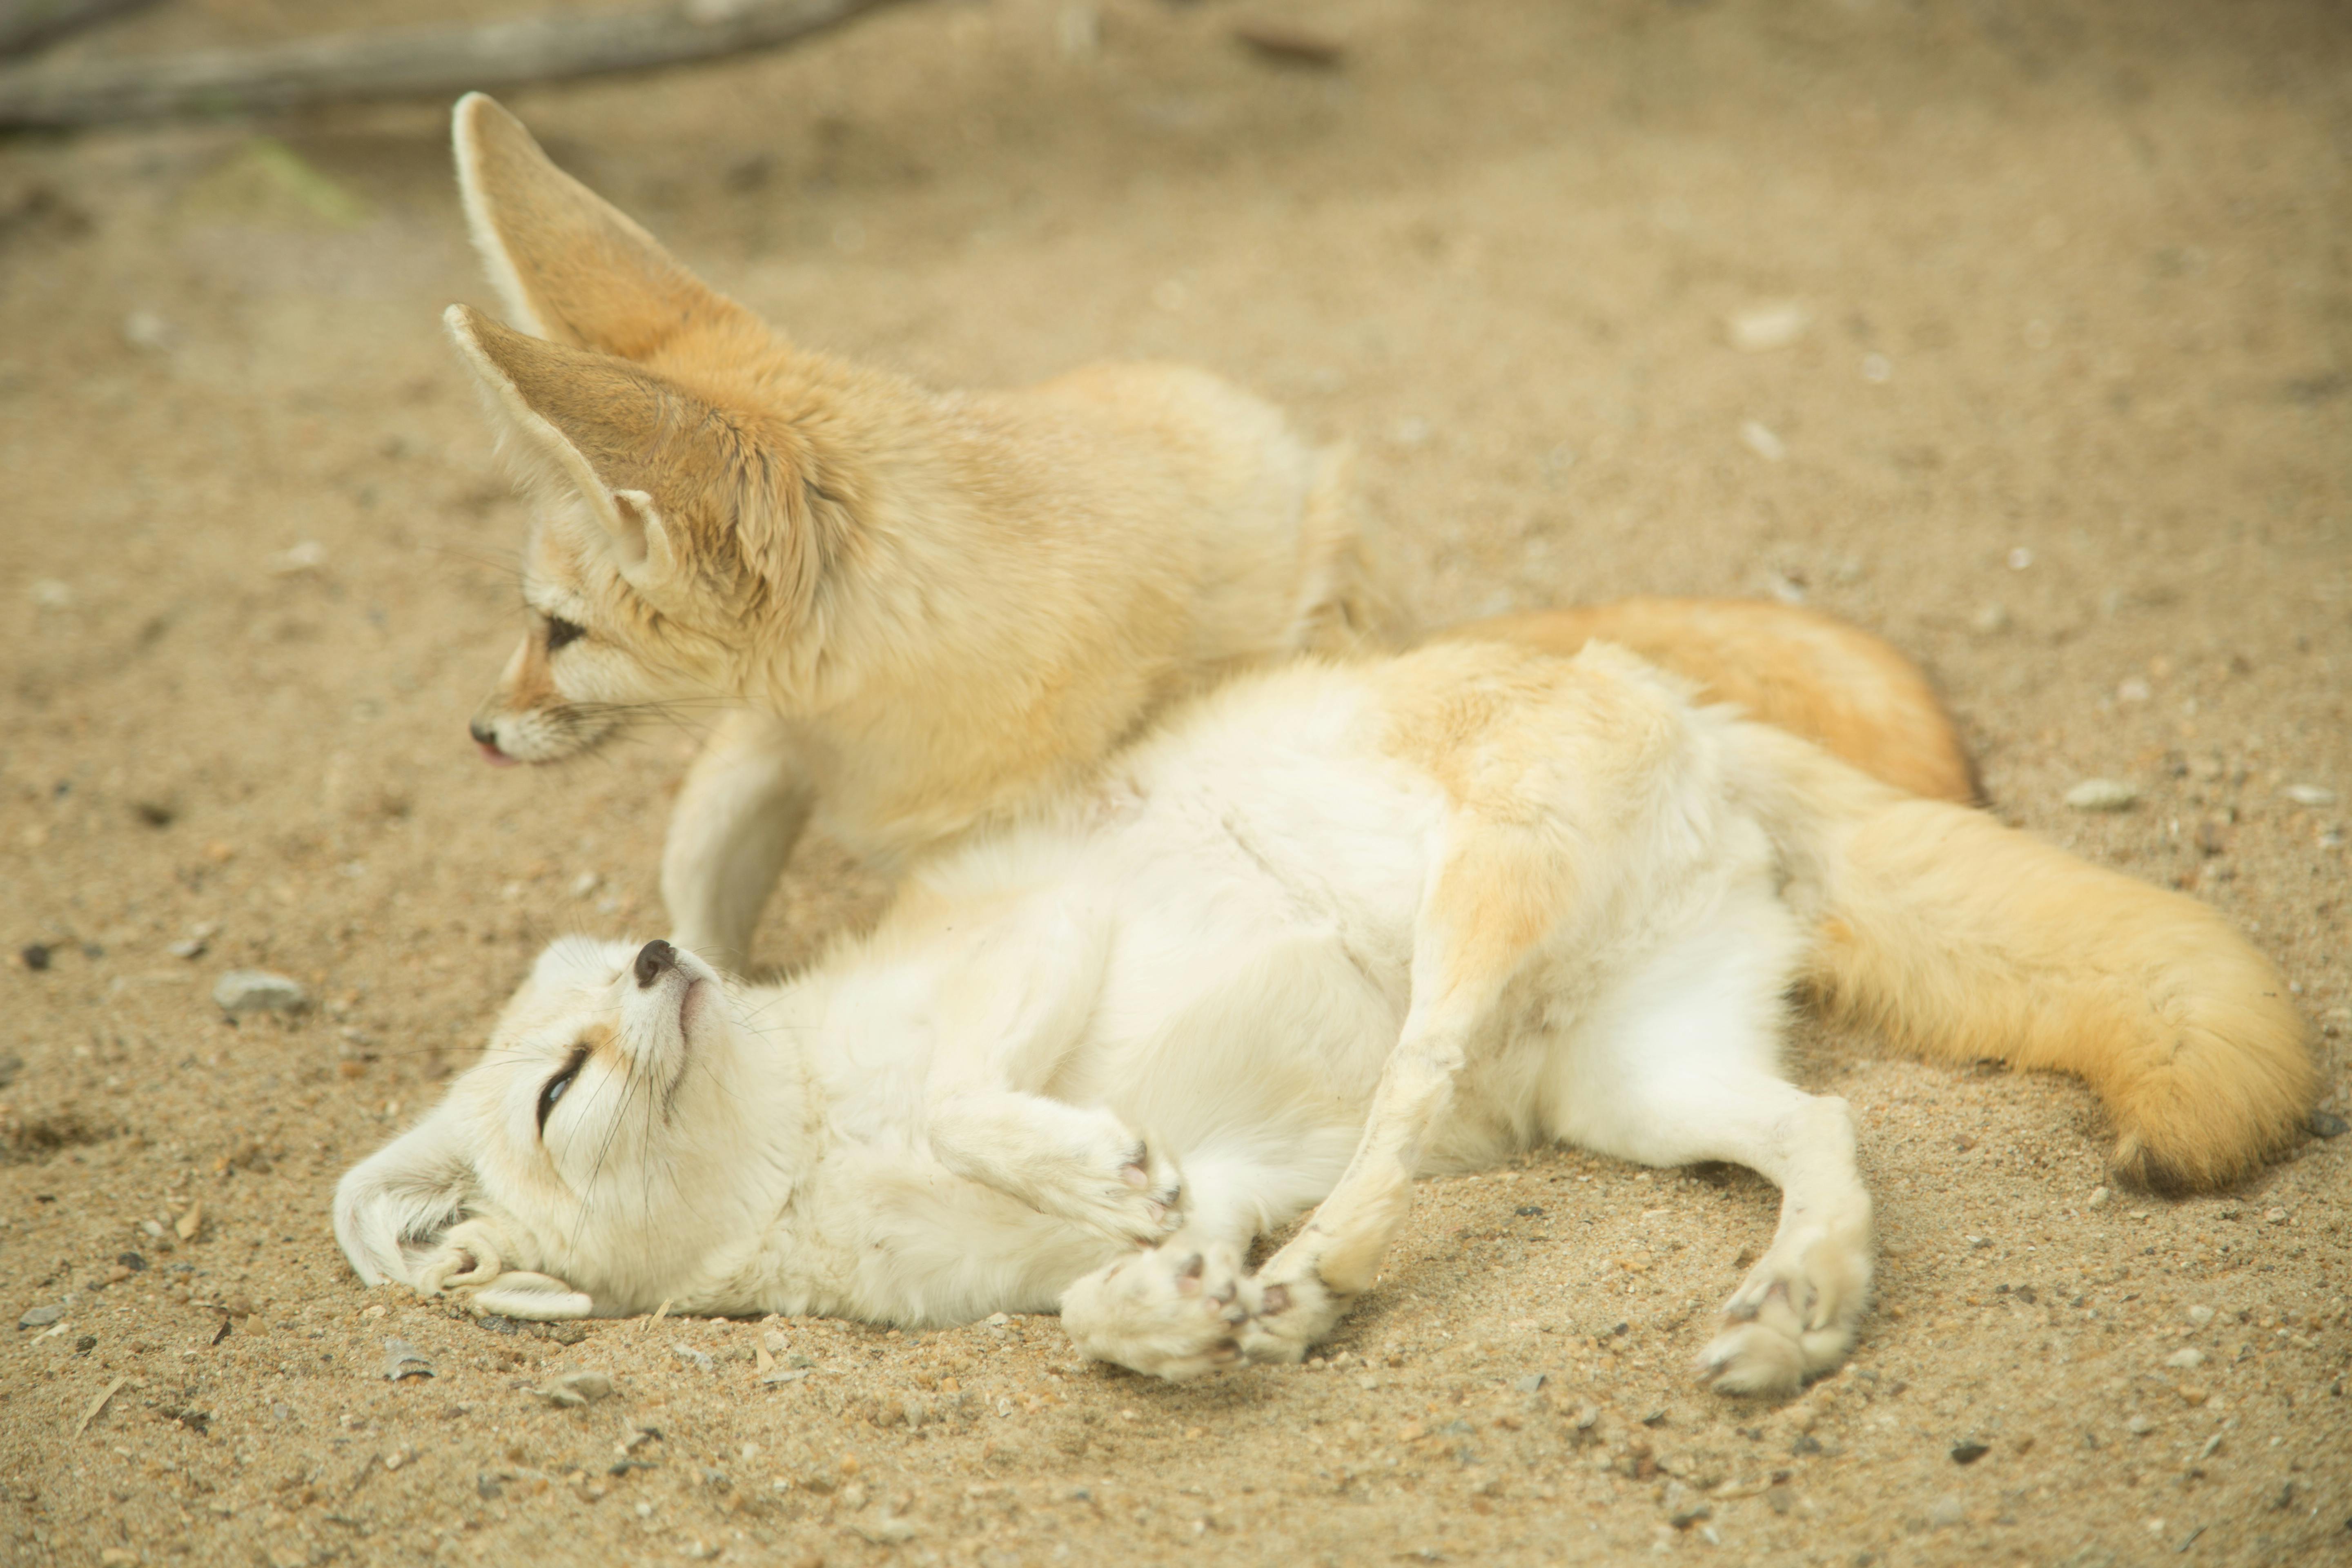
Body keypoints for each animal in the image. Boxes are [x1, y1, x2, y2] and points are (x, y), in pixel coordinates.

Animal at [337, 637, 2313, 1391]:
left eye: (598, 997)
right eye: (560, 1078)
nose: (662, 965)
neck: (810, 1146)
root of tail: (1673, 691)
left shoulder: (1044, 944)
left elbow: (998, 1104)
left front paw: (1115, 1199)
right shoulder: (1219, 1173)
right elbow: (1100, 1306)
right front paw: (1172, 1317)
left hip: (1458, 944)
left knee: (1405, 1114)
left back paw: (1331, 1277)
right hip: (1635, 1085)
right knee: (1825, 1128)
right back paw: (1794, 1305)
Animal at [441, 94, 1979, 975]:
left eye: (560, 631)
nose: (476, 729)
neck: (878, 717)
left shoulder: (1002, 820)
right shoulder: (775, 744)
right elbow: (701, 892)